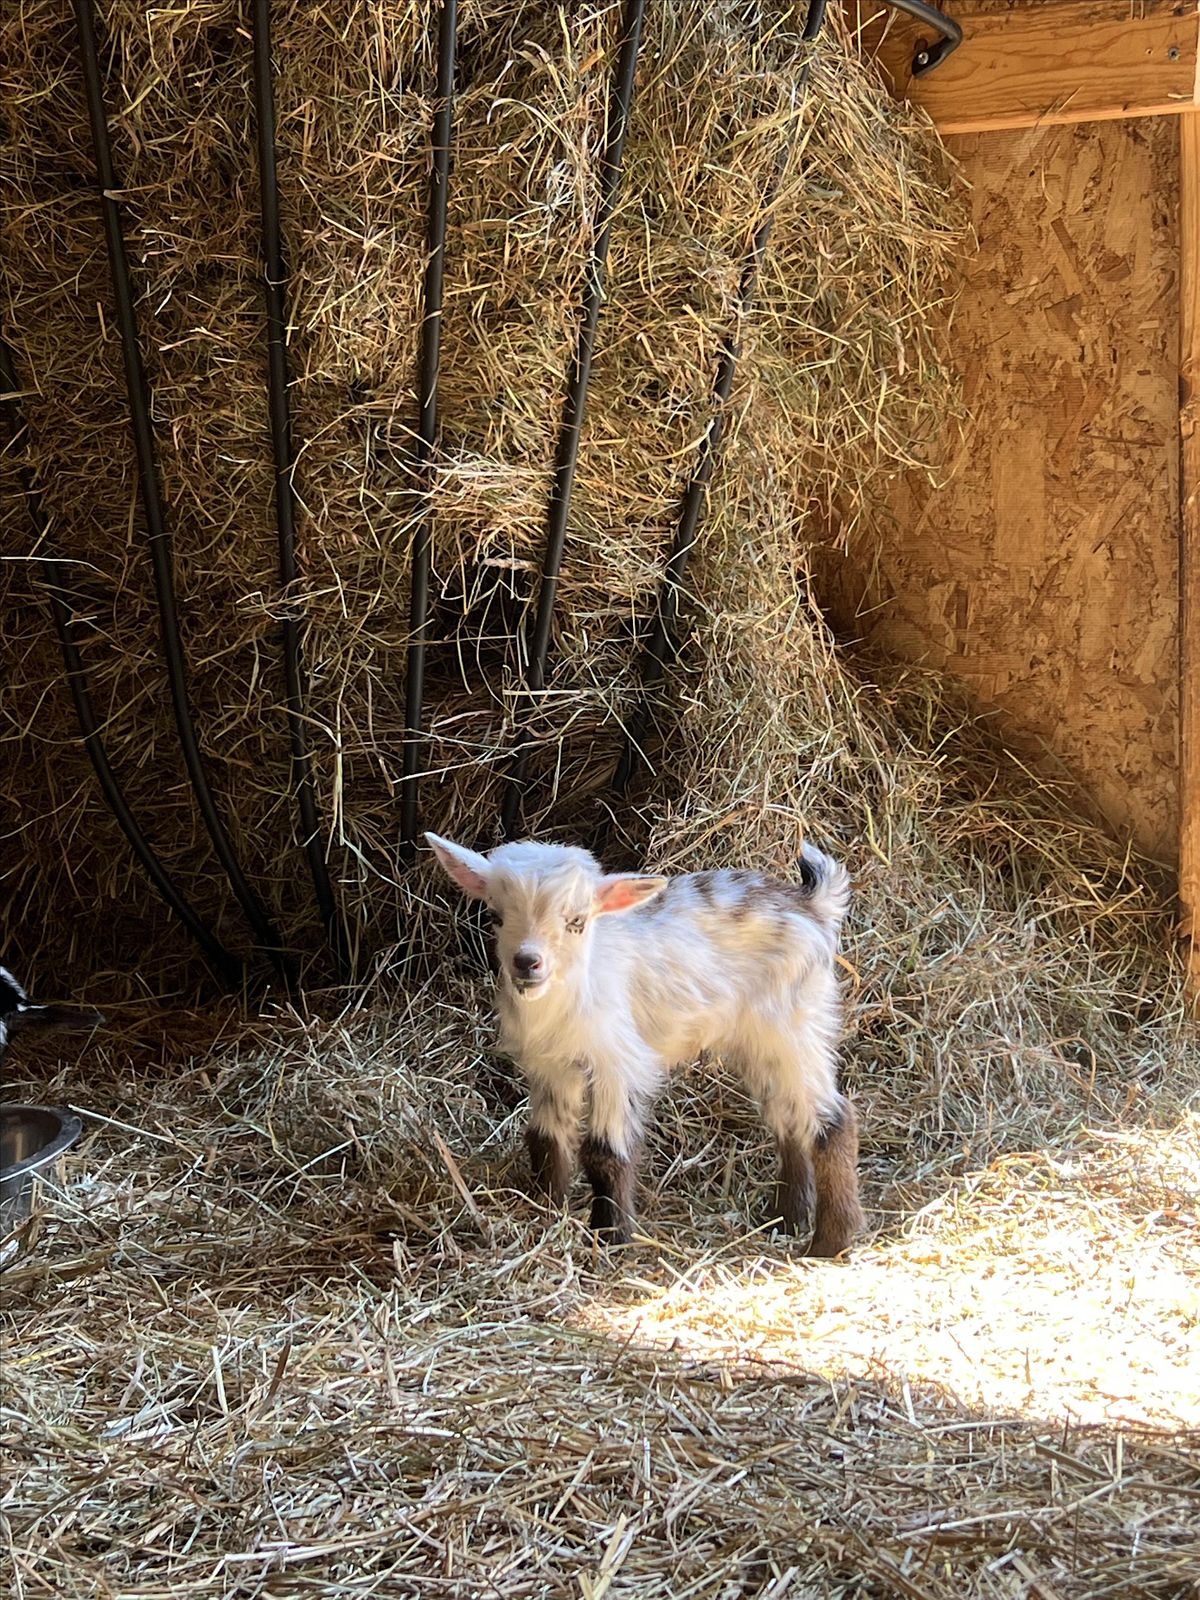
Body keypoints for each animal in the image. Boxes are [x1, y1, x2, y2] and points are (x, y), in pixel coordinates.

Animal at [427, 834, 864, 1254]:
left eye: (577, 922)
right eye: (495, 916)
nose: (527, 962)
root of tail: (809, 905)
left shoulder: (618, 1063)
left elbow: (605, 1152)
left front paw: (612, 1237)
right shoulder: (551, 1067)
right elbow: (547, 1139)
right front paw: (546, 1205)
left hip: (795, 1027)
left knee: (832, 1121)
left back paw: (829, 1242)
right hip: (761, 1044)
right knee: (788, 1119)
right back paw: (786, 1218)